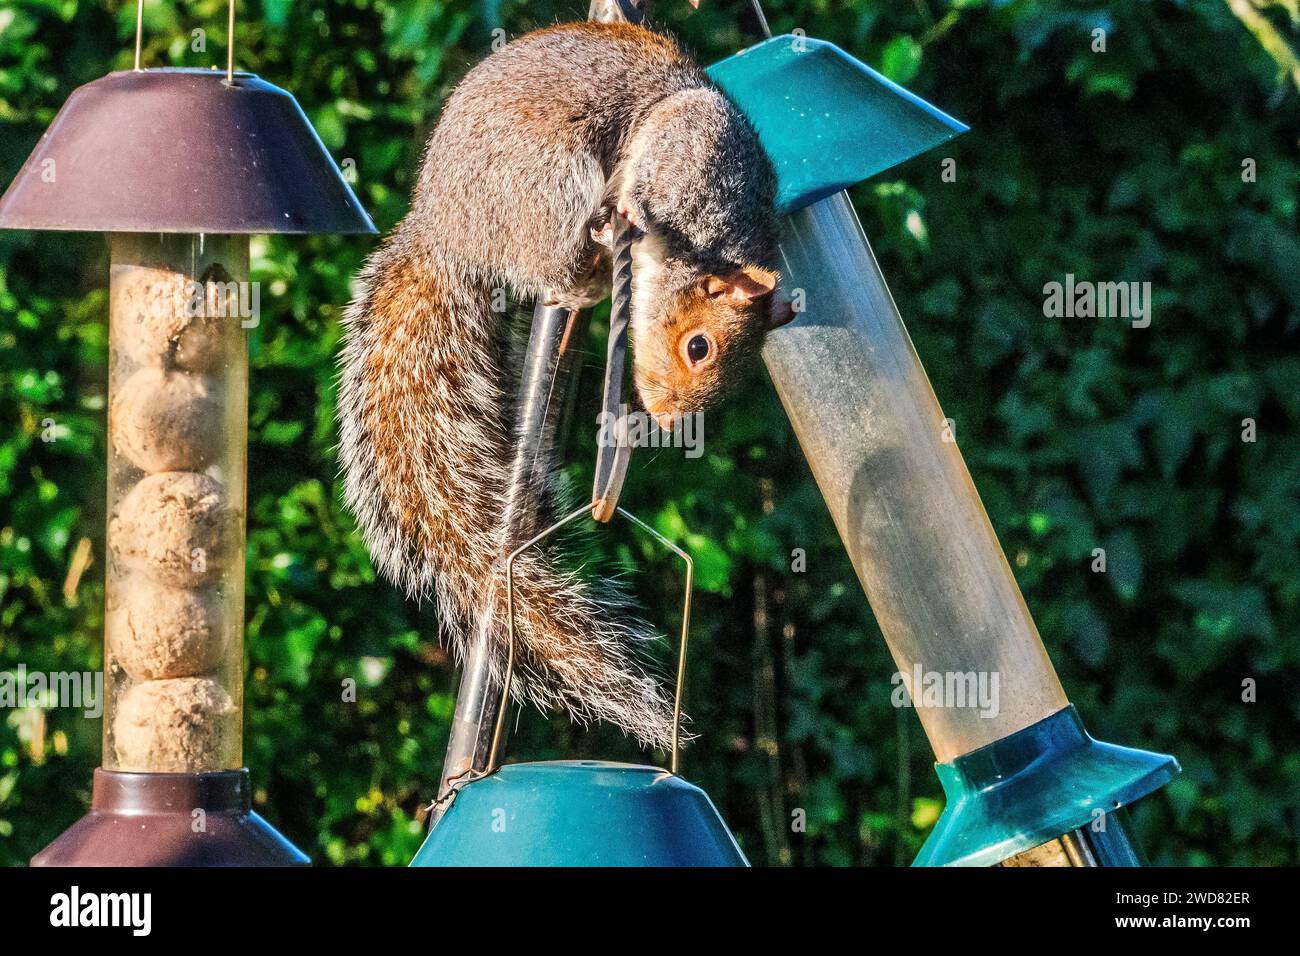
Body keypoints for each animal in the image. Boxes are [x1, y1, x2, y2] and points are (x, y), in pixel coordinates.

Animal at [337, 21, 791, 749]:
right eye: (699, 347)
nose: (669, 421)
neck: (718, 234)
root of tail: (444, 229)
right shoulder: (684, 156)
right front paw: (632, 210)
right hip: (548, 184)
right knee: (559, 261)